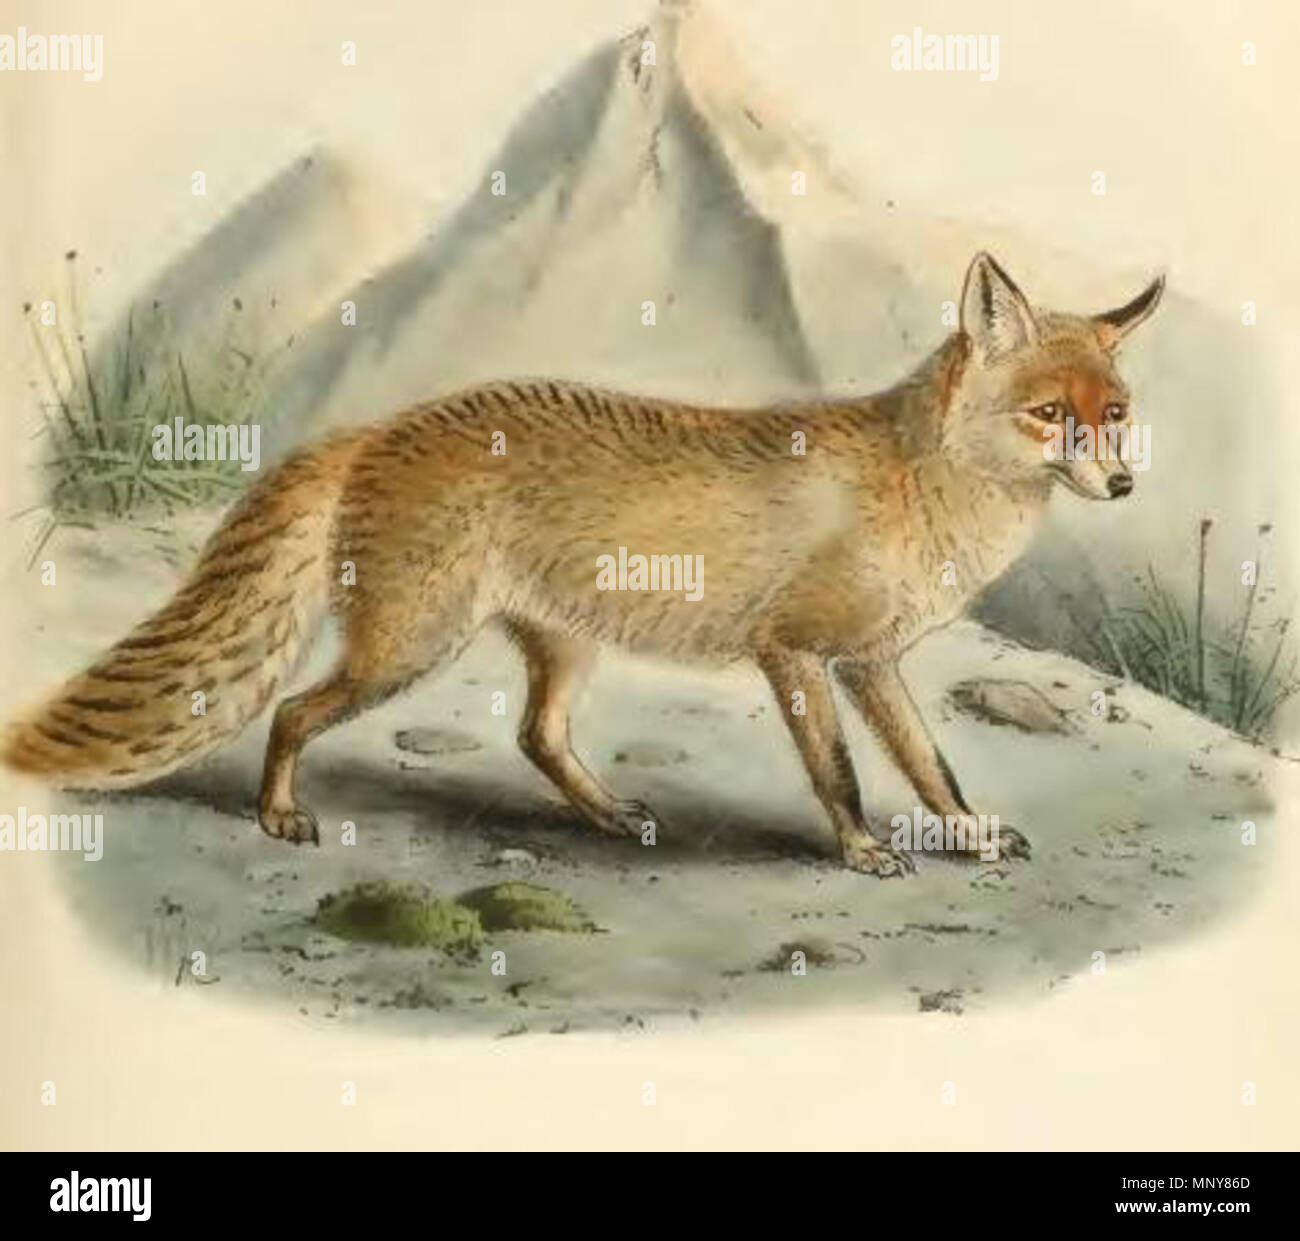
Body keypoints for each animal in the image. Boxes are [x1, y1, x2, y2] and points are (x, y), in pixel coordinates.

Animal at [2, 252, 1163, 876]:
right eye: (1049, 416)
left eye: (1114, 414)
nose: (1121, 487)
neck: (924, 491)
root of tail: (380, 426)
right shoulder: (795, 653)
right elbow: (838, 772)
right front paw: (859, 848)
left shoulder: (873, 663)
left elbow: (933, 766)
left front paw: (967, 833)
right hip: (408, 646)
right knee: (291, 709)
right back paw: (277, 812)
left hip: (556, 648)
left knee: (536, 736)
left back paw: (608, 816)